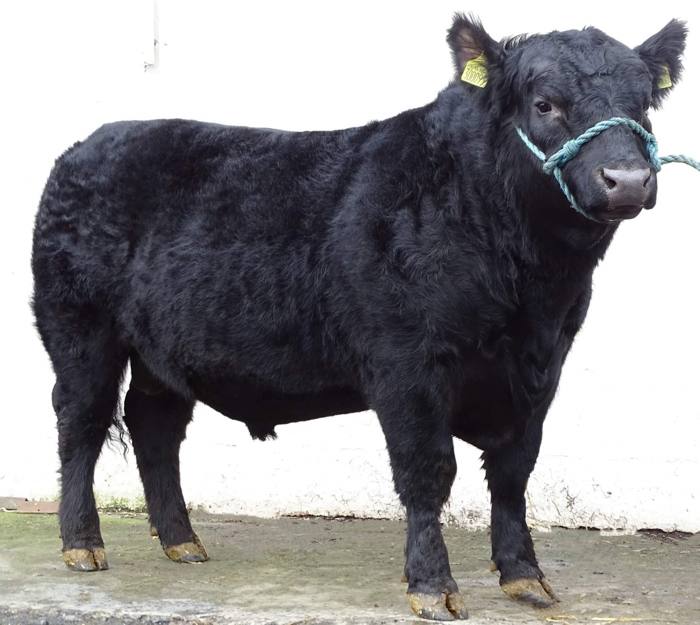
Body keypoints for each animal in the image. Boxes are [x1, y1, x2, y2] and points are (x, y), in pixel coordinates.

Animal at [32, 14, 687, 621]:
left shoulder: (541, 369)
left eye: (642, 104)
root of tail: (92, 143)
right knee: (80, 425)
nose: (628, 180)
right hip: (78, 329)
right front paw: (433, 587)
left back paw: (181, 541)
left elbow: (513, 472)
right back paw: (83, 545)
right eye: (545, 103)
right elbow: (428, 472)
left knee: (154, 426)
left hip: (163, 350)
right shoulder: (407, 366)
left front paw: (525, 576)